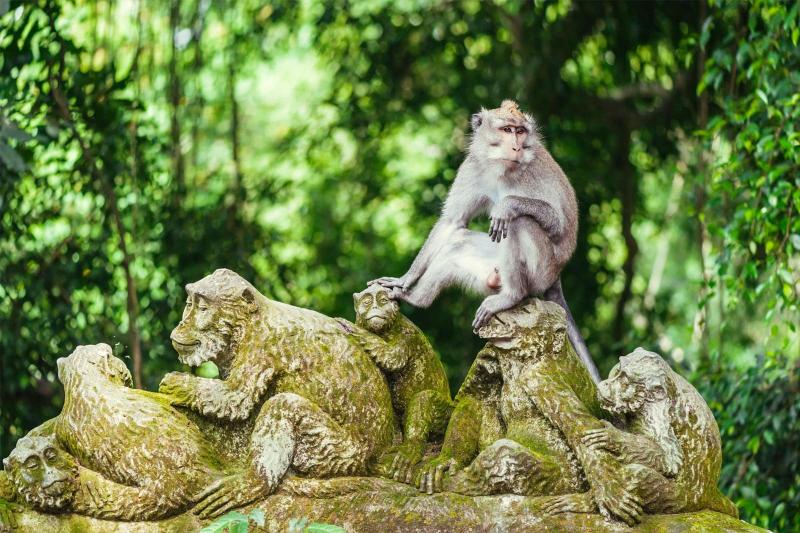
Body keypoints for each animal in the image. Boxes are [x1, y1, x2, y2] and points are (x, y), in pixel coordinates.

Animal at [370, 100, 600, 383]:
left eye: (520, 131)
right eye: (507, 129)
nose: (516, 146)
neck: (502, 168)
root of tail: (557, 276)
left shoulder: (533, 173)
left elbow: (558, 224)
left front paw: (507, 205)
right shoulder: (473, 168)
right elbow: (452, 222)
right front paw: (405, 279)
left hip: (541, 272)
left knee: (520, 223)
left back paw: (512, 295)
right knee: (457, 243)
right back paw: (415, 299)